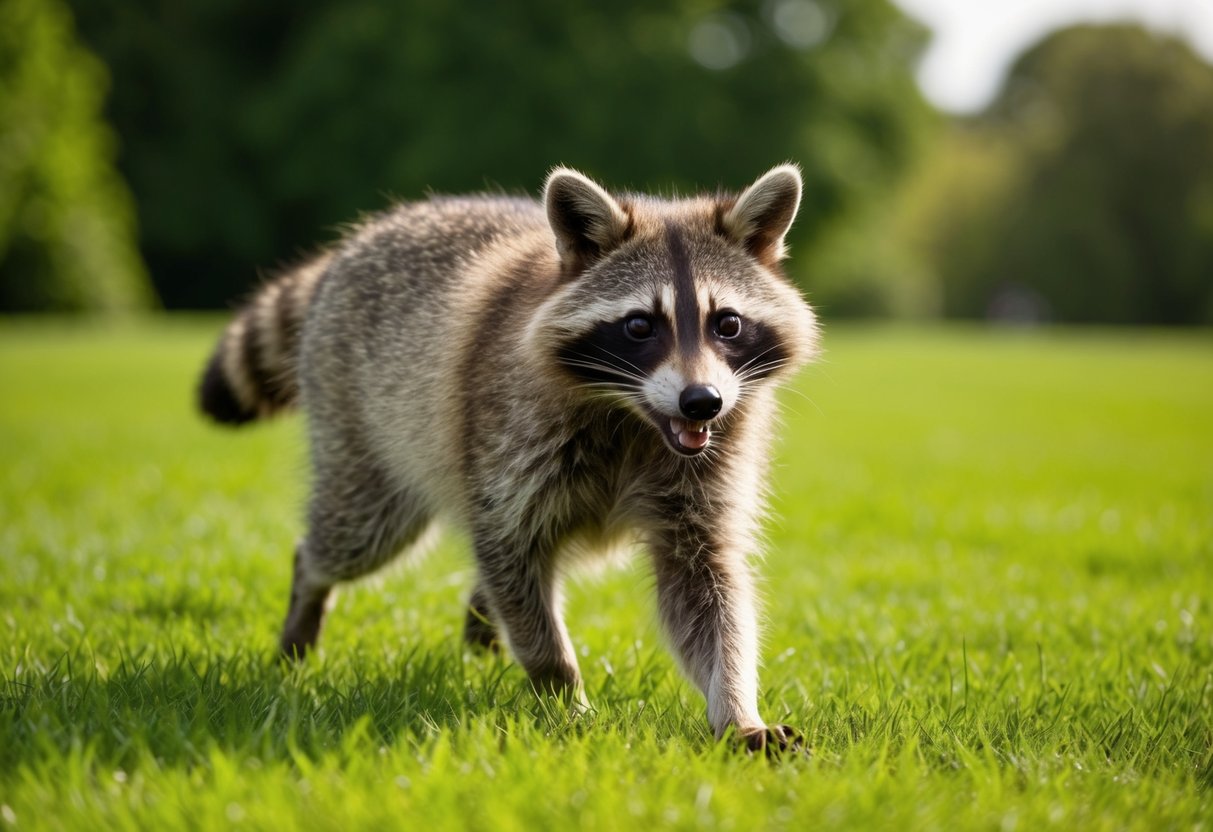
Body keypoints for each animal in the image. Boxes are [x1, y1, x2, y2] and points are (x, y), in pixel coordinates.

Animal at [199, 165, 819, 752]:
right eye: (640, 325)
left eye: (728, 323)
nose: (702, 401)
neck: (634, 417)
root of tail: (367, 236)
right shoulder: (510, 434)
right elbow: (511, 545)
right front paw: (563, 691)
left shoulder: (714, 458)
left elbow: (708, 587)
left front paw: (735, 708)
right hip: (361, 429)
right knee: (357, 536)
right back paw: (308, 595)